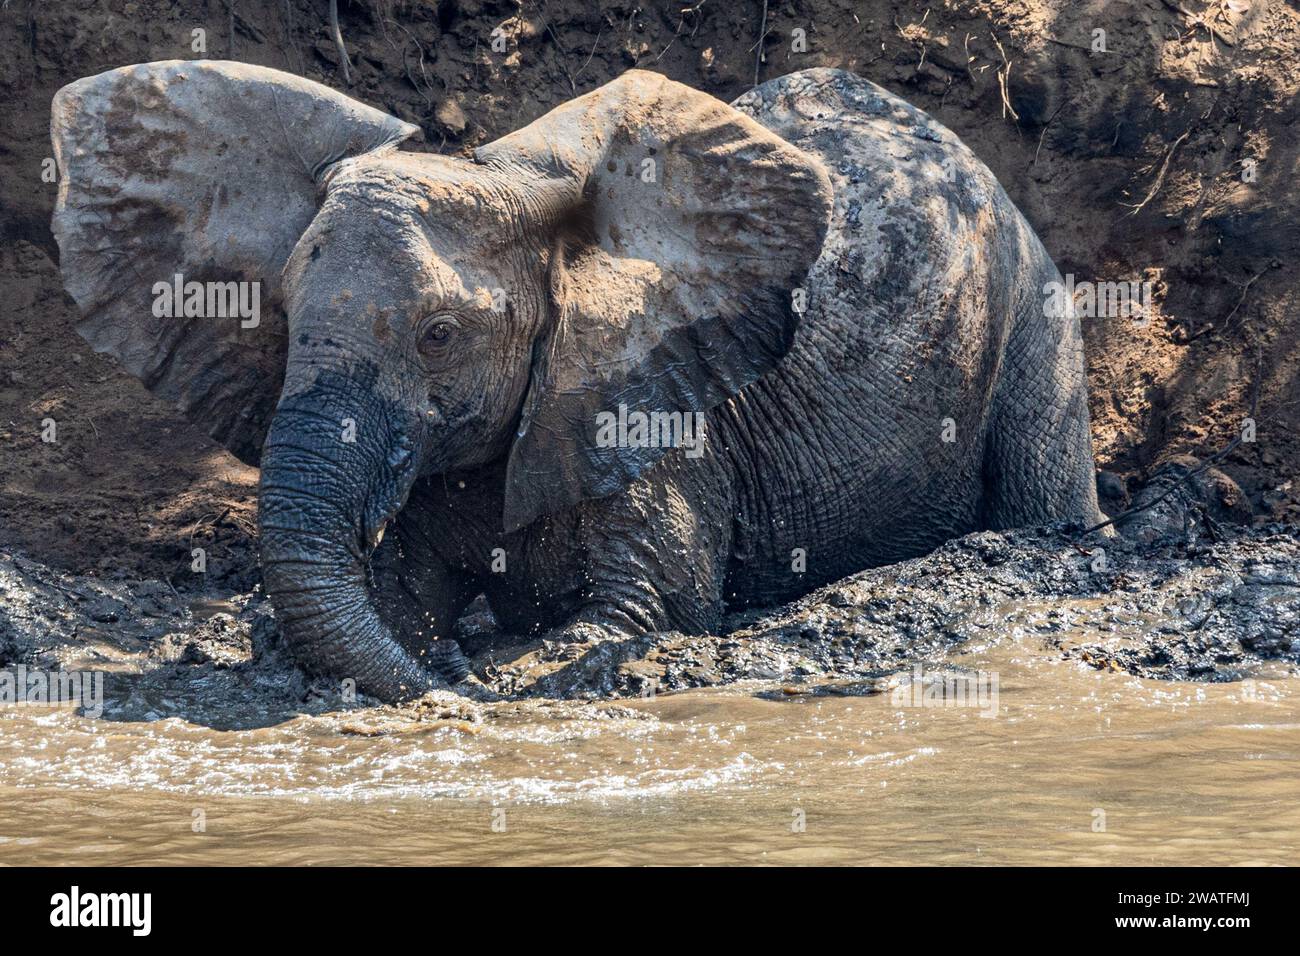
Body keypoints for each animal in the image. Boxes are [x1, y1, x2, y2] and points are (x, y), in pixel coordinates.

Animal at [51, 62, 1104, 702]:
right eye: (282, 315)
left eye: (438, 336)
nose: (443, 683)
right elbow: (398, 595)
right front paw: (427, 645)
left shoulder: (658, 402)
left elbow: (645, 613)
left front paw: (491, 671)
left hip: (1033, 313)